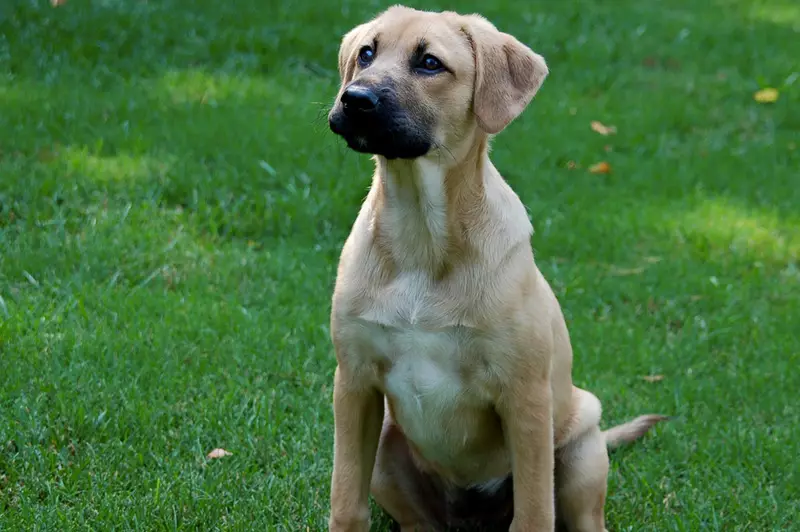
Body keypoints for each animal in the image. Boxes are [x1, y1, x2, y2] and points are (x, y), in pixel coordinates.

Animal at [324, 5, 668, 532]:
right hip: (385, 443)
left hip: (581, 450)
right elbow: (345, 503)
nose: (355, 99)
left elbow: (533, 512)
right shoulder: (355, 384)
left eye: (429, 63)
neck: (422, 237)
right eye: (366, 53)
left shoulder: (524, 398)